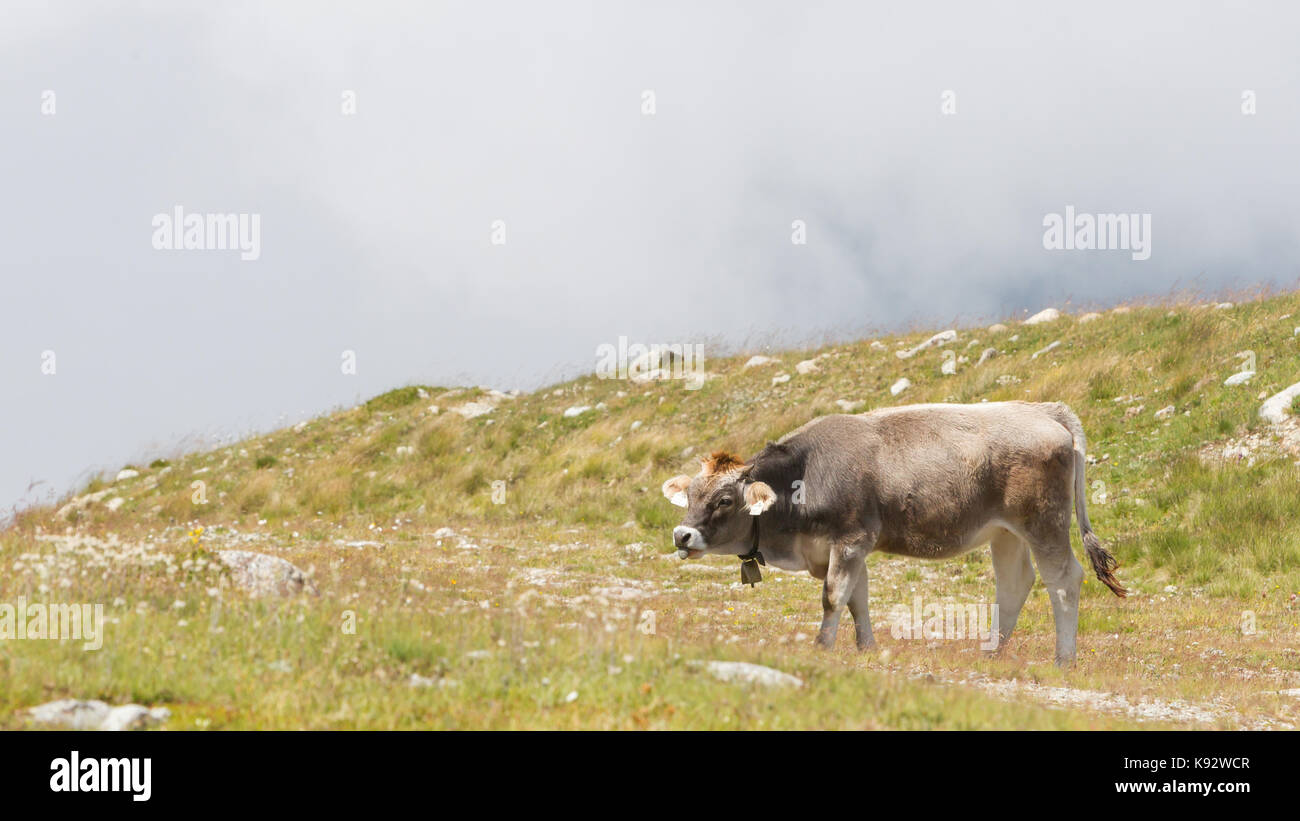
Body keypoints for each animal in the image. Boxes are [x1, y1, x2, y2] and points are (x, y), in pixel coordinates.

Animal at [661, 401, 1125, 666]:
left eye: (724, 500)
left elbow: (833, 597)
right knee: (1014, 584)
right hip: (1004, 531)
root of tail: (1044, 410)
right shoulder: (843, 547)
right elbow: (857, 600)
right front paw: (865, 648)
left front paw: (822, 648)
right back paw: (992, 652)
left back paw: (1064, 659)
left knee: (1063, 580)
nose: (682, 536)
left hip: (1043, 522)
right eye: (692, 494)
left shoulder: (851, 538)